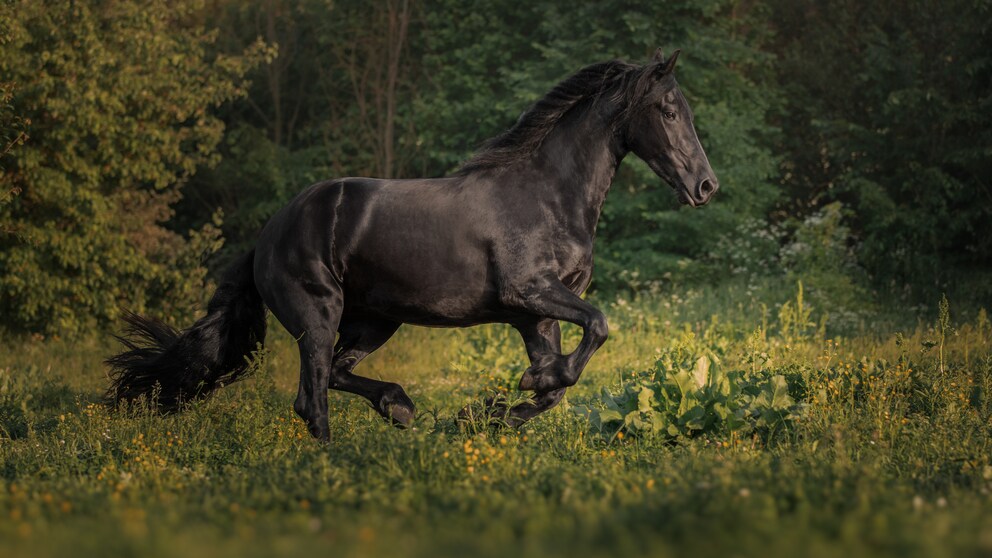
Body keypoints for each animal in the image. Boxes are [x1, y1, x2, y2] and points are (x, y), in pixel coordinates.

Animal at [106, 49, 719, 441]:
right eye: (668, 111)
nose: (705, 187)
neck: (548, 194)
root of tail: (267, 235)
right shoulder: (529, 293)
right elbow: (597, 327)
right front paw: (498, 401)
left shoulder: (536, 317)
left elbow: (560, 384)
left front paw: (485, 413)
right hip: (317, 314)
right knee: (313, 396)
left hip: (375, 320)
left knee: (334, 375)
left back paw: (399, 408)